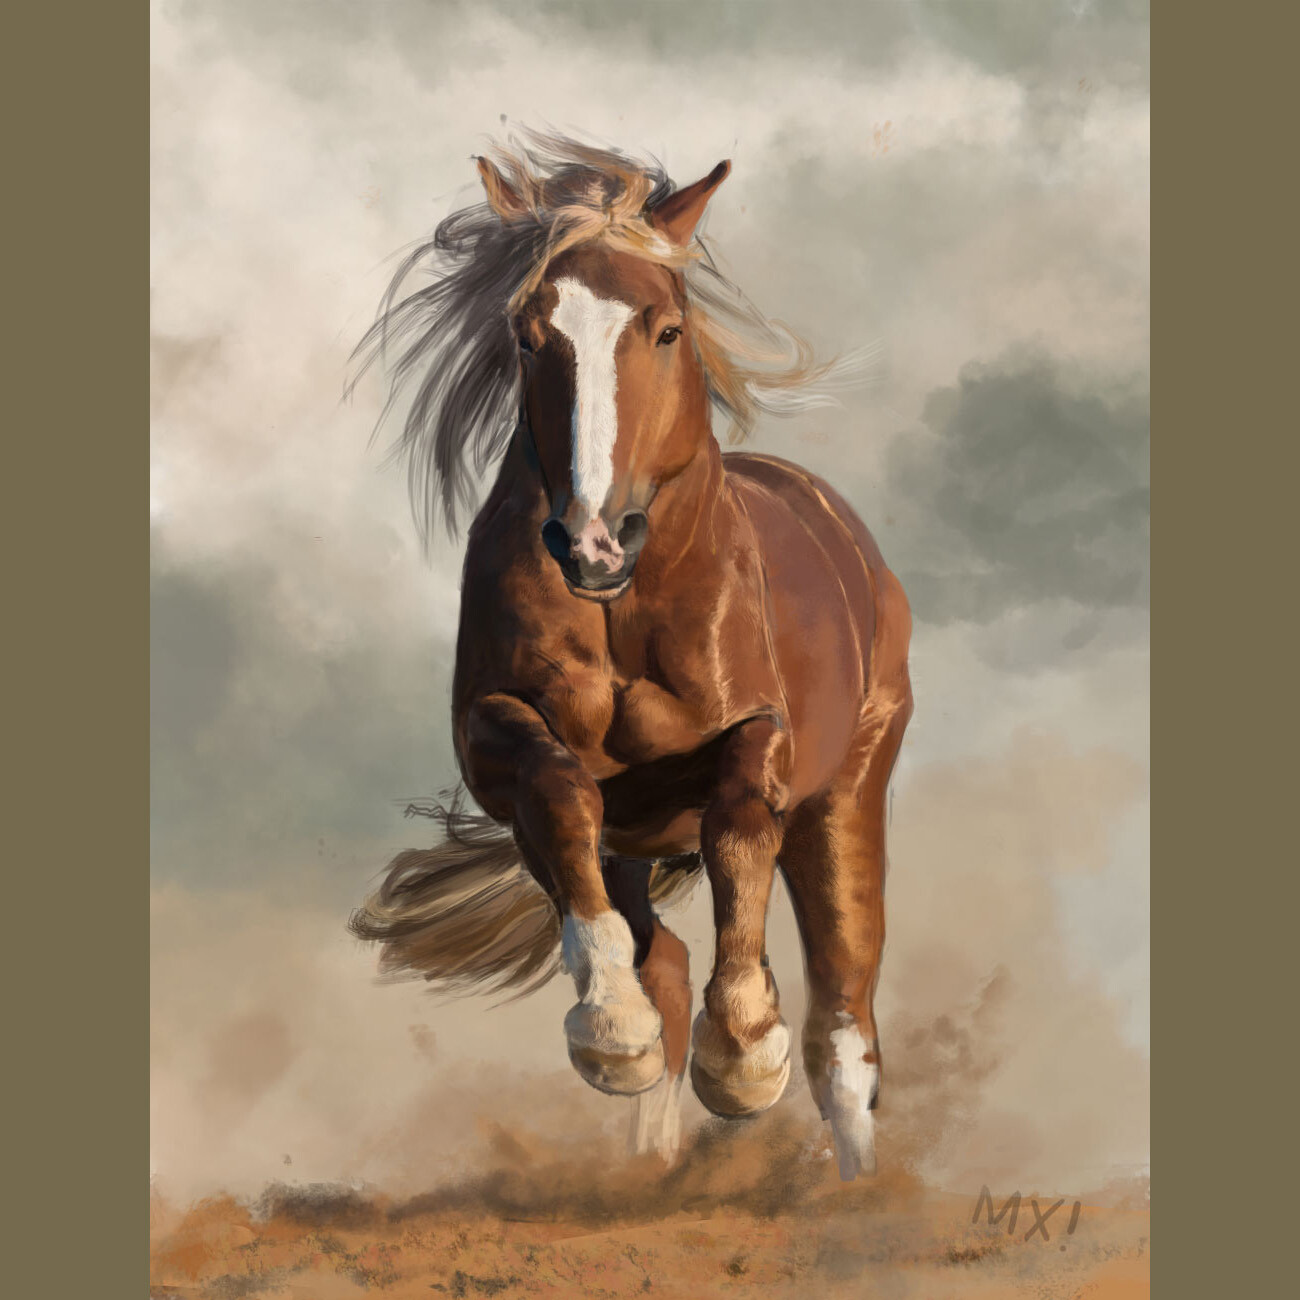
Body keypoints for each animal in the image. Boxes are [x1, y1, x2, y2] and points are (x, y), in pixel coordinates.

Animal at [349, 131, 913, 1179]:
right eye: (529, 336)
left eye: (666, 330)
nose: (592, 541)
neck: (626, 609)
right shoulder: (497, 736)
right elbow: (559, 796)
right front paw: (613, 1034)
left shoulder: (759, 733)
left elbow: (740, 823)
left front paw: (746, 1054)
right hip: (638, 848)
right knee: (668, 958)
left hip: (851, 791)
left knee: (844, 1023)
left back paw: (851, 1180)